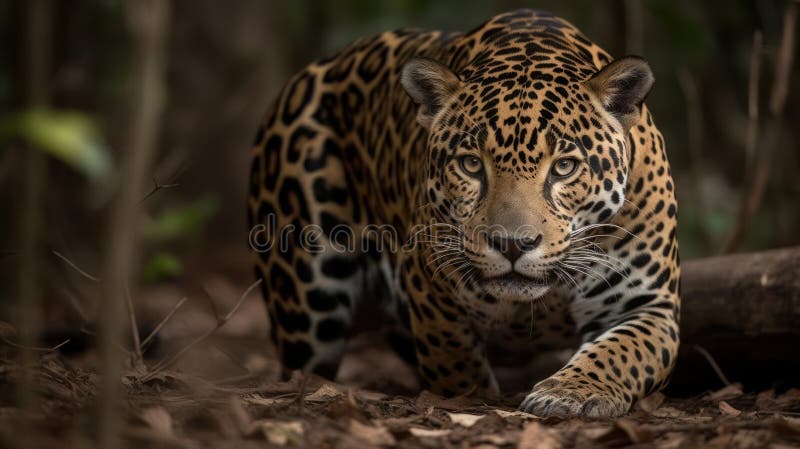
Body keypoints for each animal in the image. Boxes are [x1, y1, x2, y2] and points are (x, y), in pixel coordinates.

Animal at [246, 9, 680, 418]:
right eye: (471, 165)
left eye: (564, 167)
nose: (512, 245)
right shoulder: (431, 295)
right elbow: (455, 363)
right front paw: (479, 399)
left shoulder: (647, 305)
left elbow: (620, 354)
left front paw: (570, 393)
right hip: (305, 298)